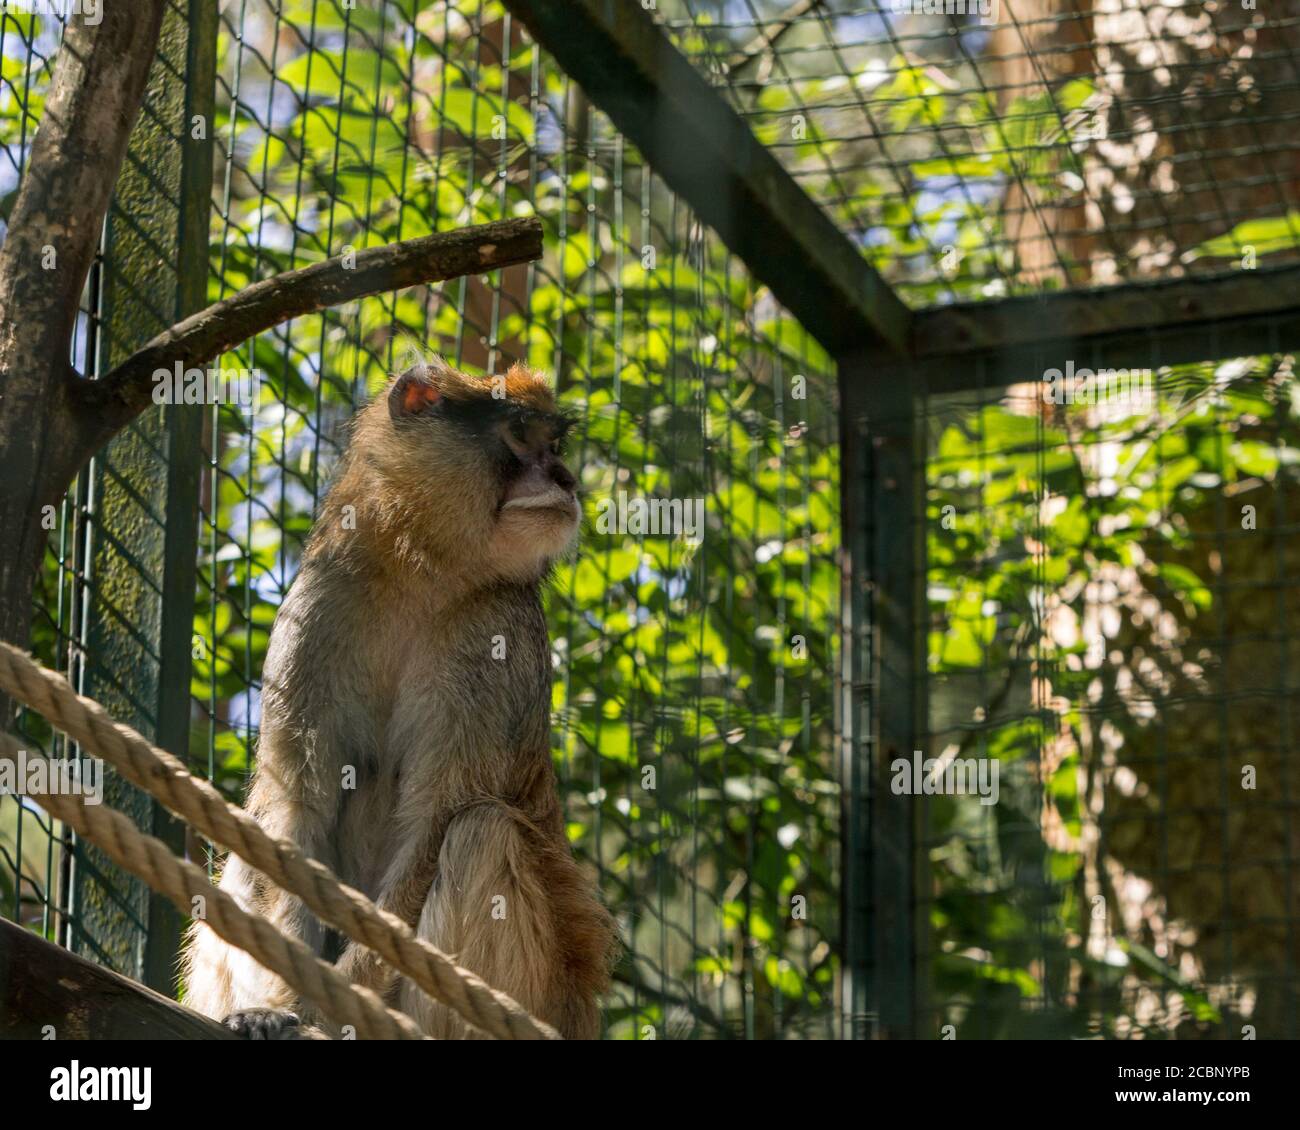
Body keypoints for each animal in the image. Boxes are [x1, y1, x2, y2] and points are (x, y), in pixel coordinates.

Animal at [182, 356, 616, 1039]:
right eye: (524, 436)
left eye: (557, 446)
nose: (567, 479)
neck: (423, 569)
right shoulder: (320, 603)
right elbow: (295, 814)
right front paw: (276, 1004)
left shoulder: (501, 633)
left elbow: (433, 823)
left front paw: (325, 1006)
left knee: (482, 830)